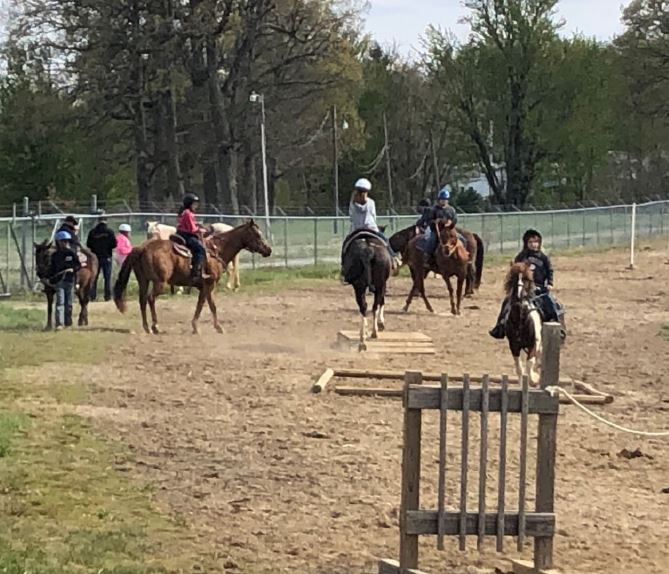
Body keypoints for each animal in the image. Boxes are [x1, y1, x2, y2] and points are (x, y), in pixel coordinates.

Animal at [114, 221, 271, 334]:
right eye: (257, 235)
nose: (268, 250)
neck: (217, 249)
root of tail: (143, 248)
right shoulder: (209, 284)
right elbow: (205, 305)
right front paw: (200, 327)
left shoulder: (205, 286)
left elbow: (209, 305)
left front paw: (214, 327)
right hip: (160, 282)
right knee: (150, 299)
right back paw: (155, 326)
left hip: (143, 281)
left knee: (142, 301)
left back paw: (147, 327)